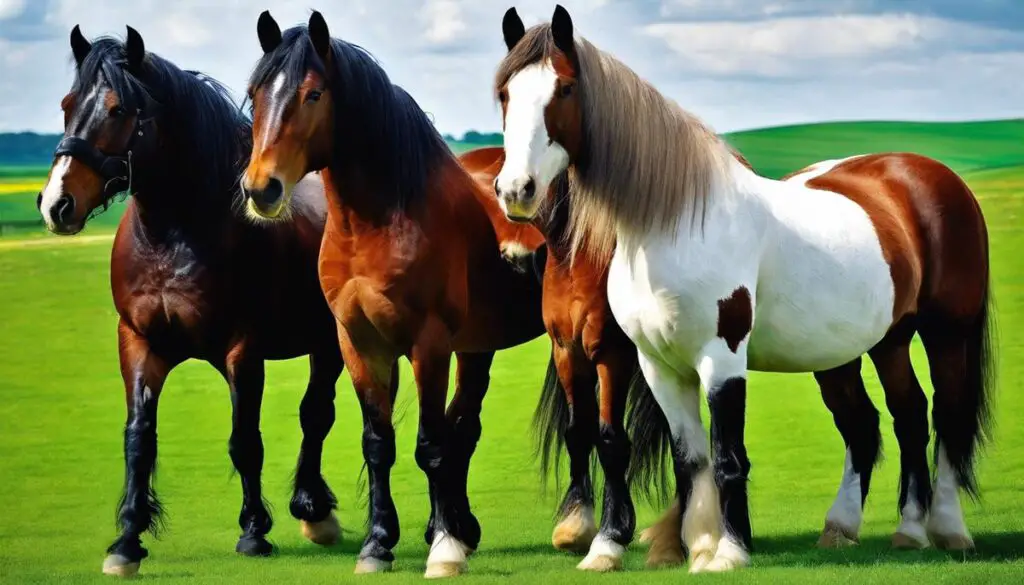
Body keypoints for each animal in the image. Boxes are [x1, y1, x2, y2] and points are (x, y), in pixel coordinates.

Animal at [36, 26, 376, 576]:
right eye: (68, 105)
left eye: (117, 109)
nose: (55, 204)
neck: (173, 237)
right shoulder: (138, 343)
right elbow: (139, 439)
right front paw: (127, 539)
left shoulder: (243, 352)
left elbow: (245, 441)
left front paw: (254, 531)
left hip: (330, 343)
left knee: (315, 413)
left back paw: (313, 510)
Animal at [240, 11, 554, 577]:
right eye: (255, 94)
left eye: (313, 93)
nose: (261, 188)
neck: (376, 225)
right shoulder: (359, 344)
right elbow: (379, 443)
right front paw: (379, 543)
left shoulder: (429, 345)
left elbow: (429, 445)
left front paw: (444, 550)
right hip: (477, 348)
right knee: (464, 424)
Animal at [459, 146, 669, 571]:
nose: (518, 258)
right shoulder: (567, 351)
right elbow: (577, 432)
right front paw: (576, 524)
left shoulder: (611, 353)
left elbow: (611, 438)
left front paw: (612, 533)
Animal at [494, 5, 995, 573]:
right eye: (506, 92)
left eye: (565, 89)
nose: (517, 190)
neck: (671, 225)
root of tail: (929, 174)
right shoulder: (657, 364)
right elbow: (689, 459)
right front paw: (687, 545)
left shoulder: (719, 359)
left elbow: (727, 456)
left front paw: (728, 553)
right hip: (877, 341)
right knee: (899, 417)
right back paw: (893, 529)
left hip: (947, 334)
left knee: (947, 415)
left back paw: (949, 530)